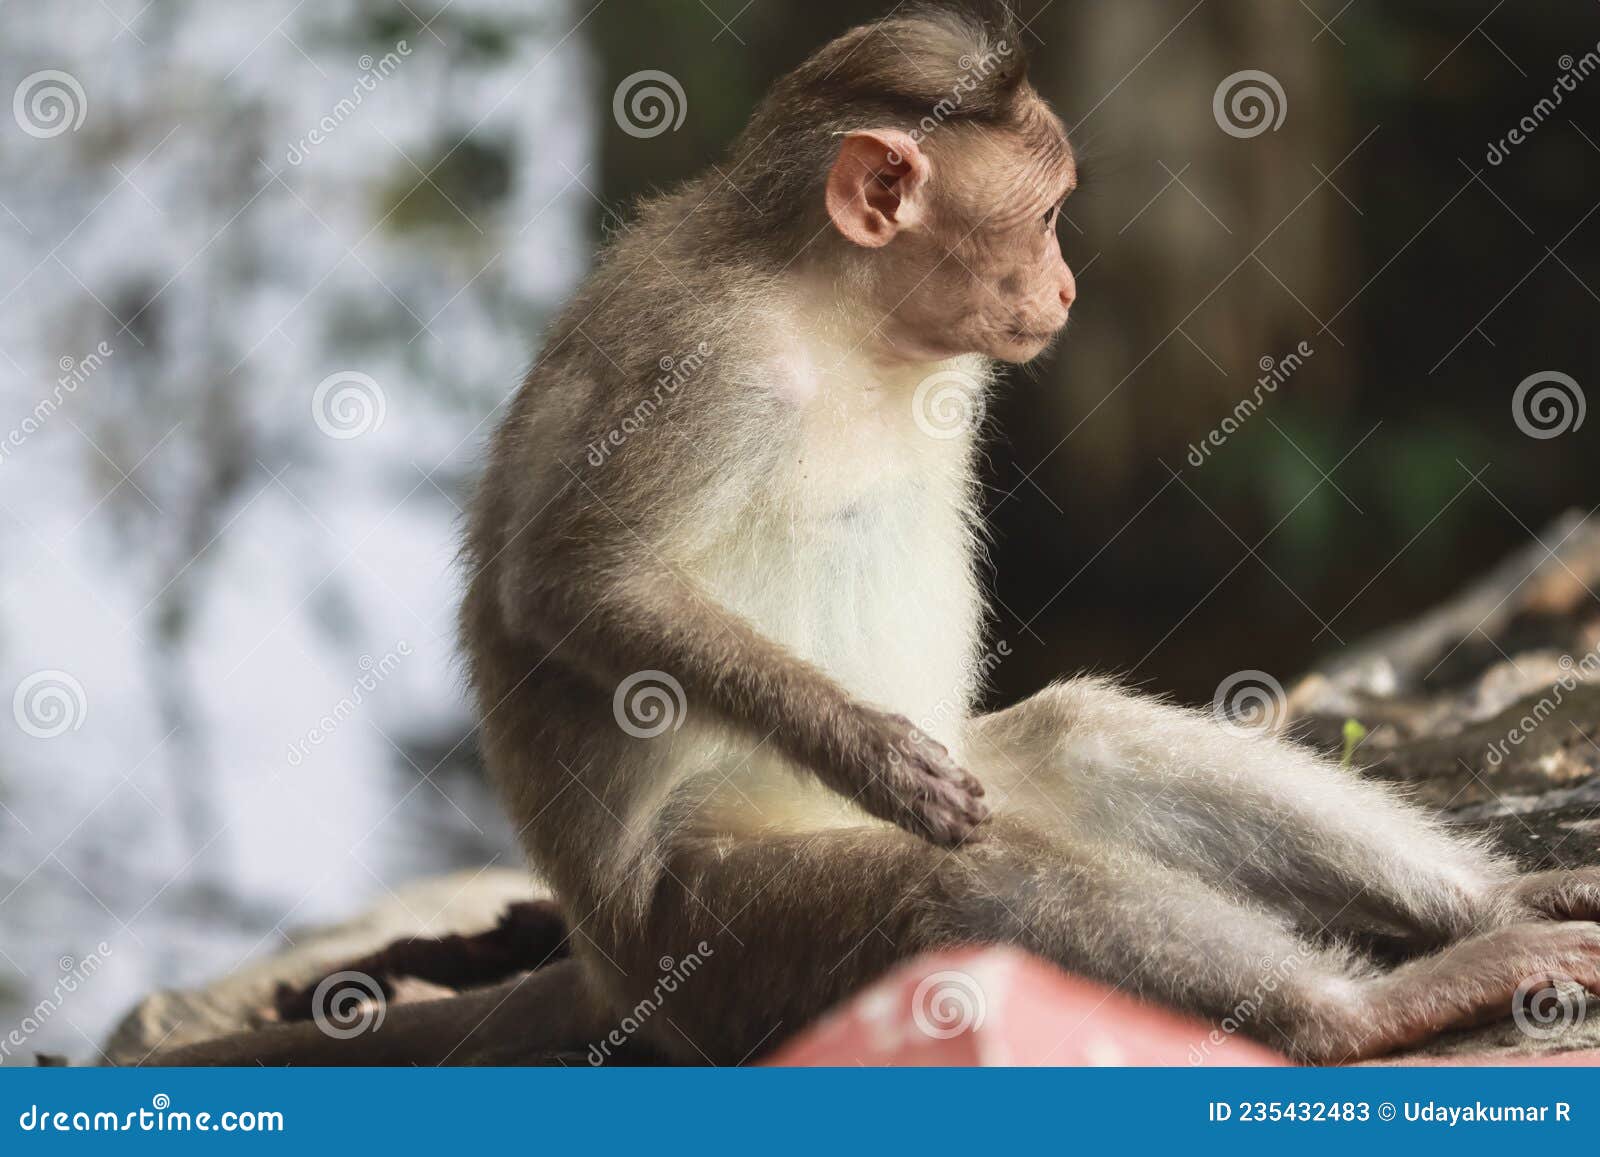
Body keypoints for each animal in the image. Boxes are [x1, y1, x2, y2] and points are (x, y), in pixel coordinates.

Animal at [150, 4, 1600, 1069]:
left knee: (1083, 744)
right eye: (1046, 216)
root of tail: (605, 967)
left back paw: (1489, 910)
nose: (1066, 283)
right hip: (717, 941)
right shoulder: (705, 367)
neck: (836, 306)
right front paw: (869, 750)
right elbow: (570, 581)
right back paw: (1368, 1007)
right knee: (950, 891)